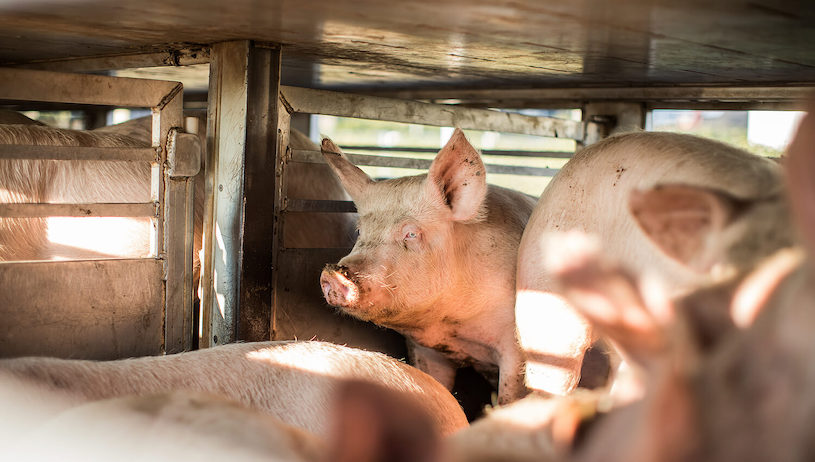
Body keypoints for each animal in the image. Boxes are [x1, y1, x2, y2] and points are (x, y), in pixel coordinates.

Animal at [319, 129, 537, 404]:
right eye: (360, 231)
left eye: (411, 234)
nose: (333, 273)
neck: (453, 323)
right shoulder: (426, 350)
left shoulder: (517, 347)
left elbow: (510, 397)